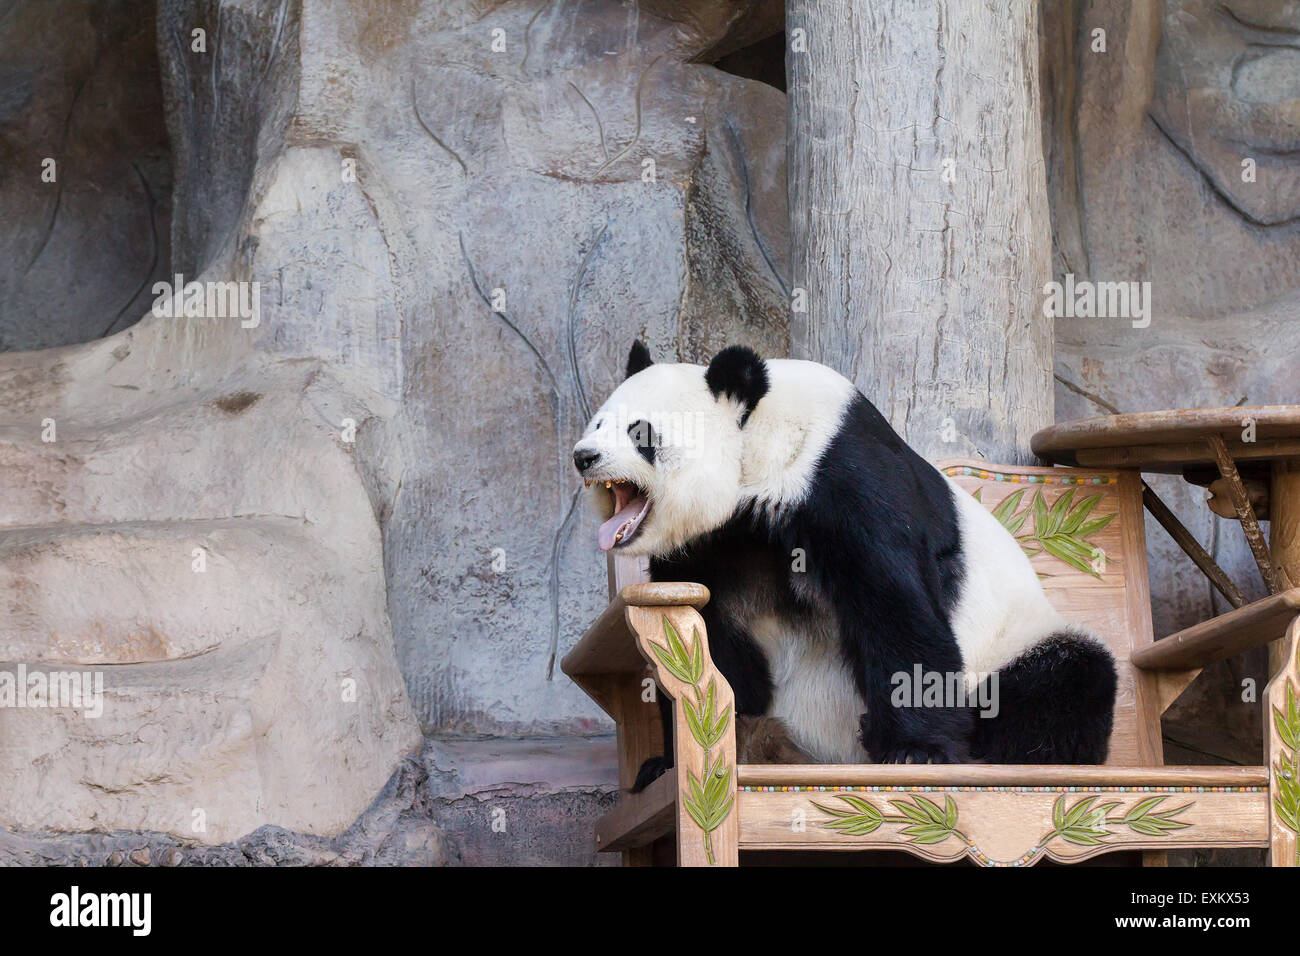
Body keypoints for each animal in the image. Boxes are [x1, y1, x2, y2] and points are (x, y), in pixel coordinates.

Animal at [572, 342, 1117, 782]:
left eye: (640, 432)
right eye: (598, 423)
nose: (584, 456)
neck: (758, 445)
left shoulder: (841, 475)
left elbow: (894, 606)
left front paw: (916, 750)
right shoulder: (714, 540)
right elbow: (715, 644)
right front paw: (673, 756)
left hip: (1017, 639)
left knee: (1064, 680)